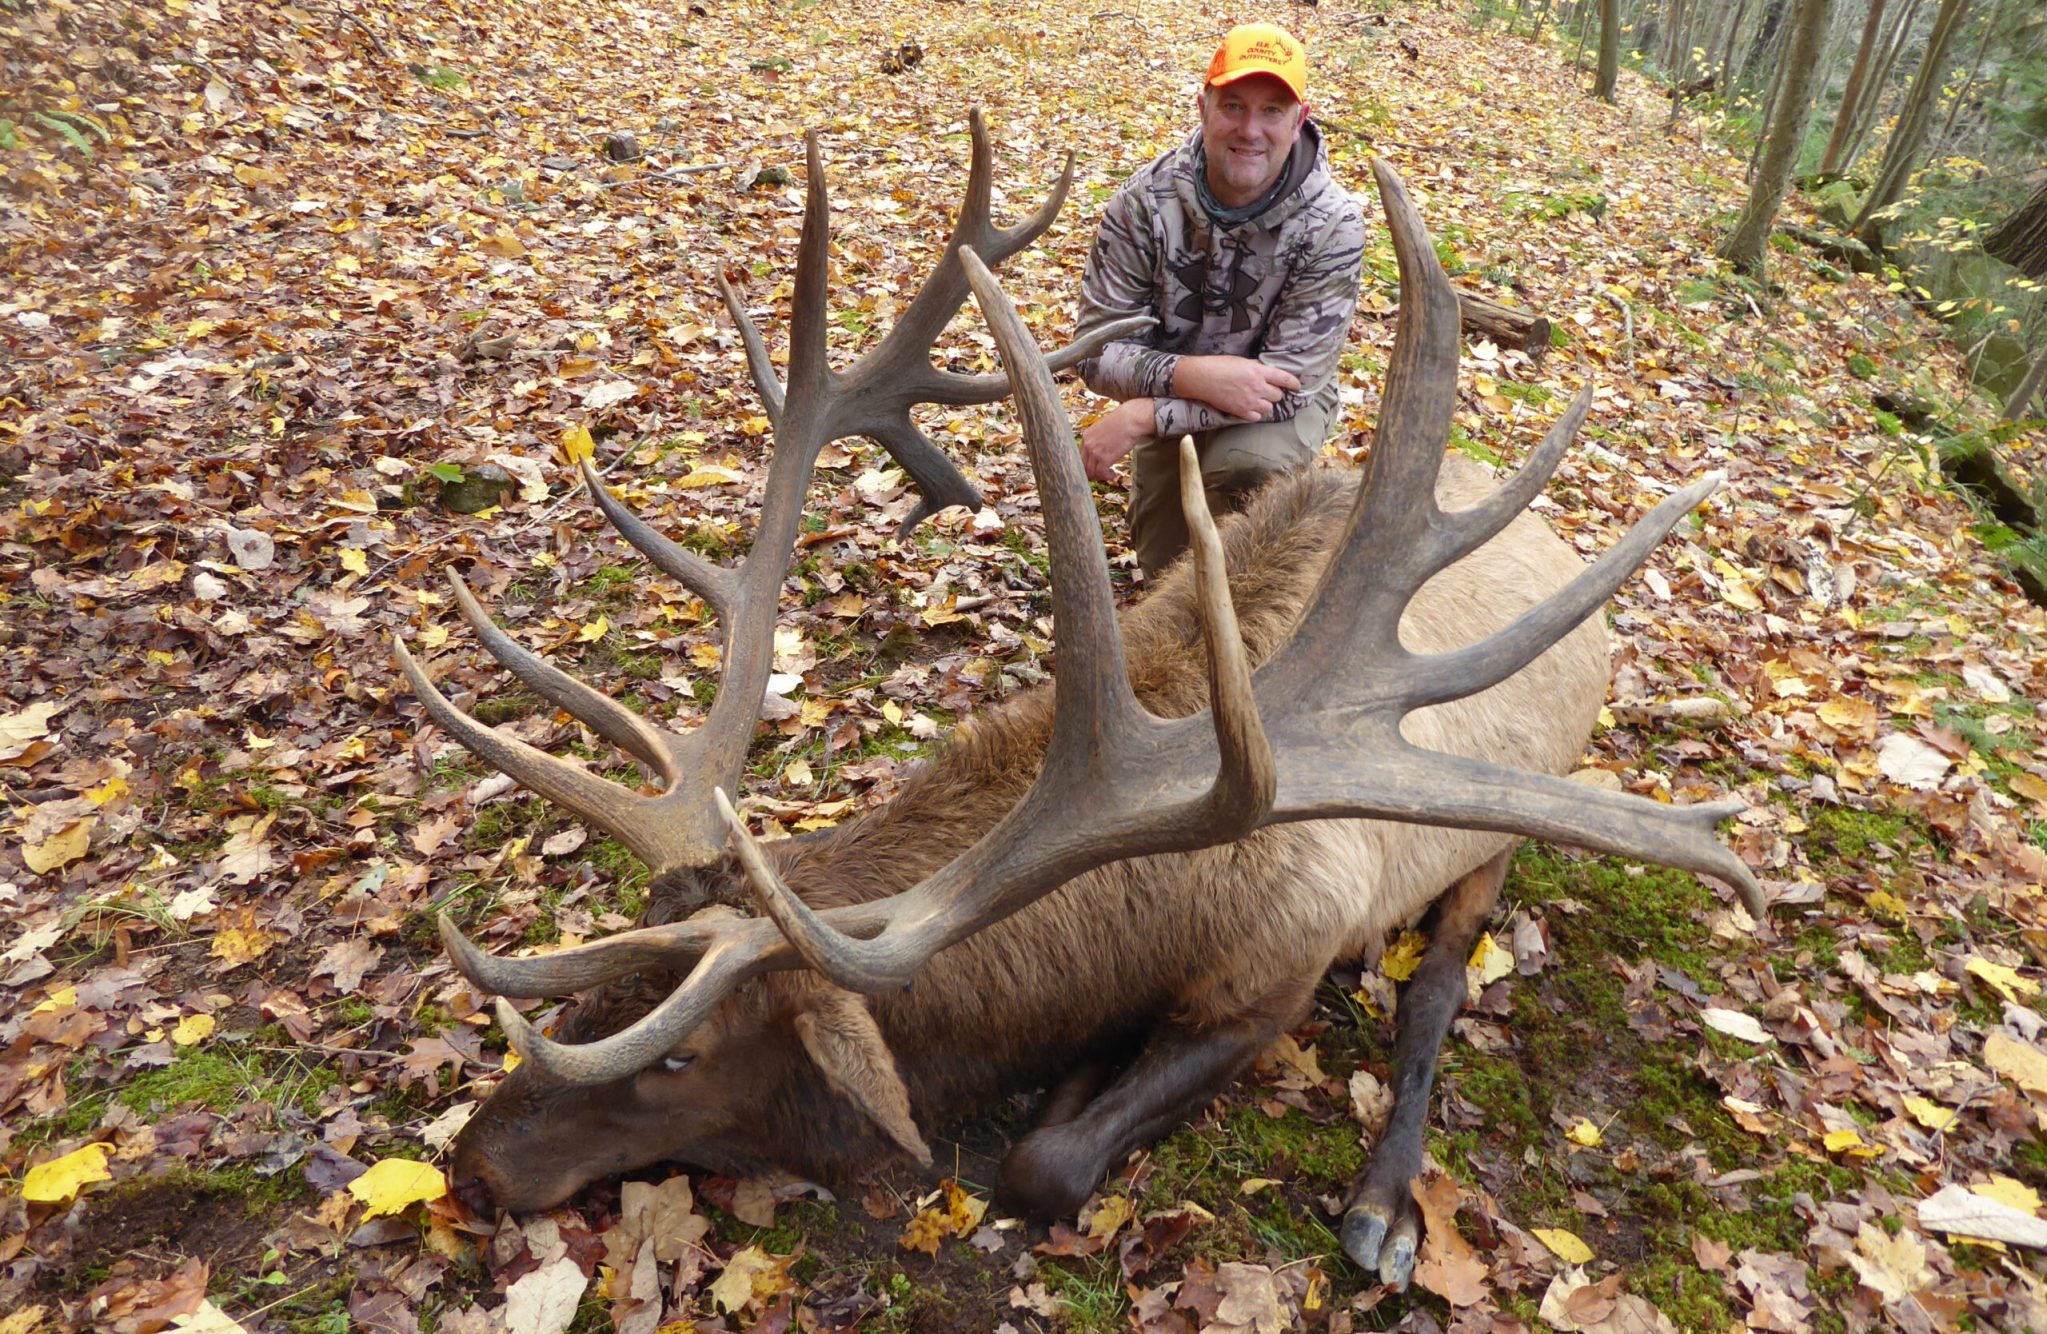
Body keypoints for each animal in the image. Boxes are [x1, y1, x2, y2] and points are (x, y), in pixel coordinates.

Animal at [391, 114, 1768, 1288]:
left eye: (679, 1053)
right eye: (596, 986)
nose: (472, 1161)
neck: (1142, 918)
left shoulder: (1282, 963)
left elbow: (1041, 1164)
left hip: (1509, 813)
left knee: (1441, 975)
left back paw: (1384, 1203)